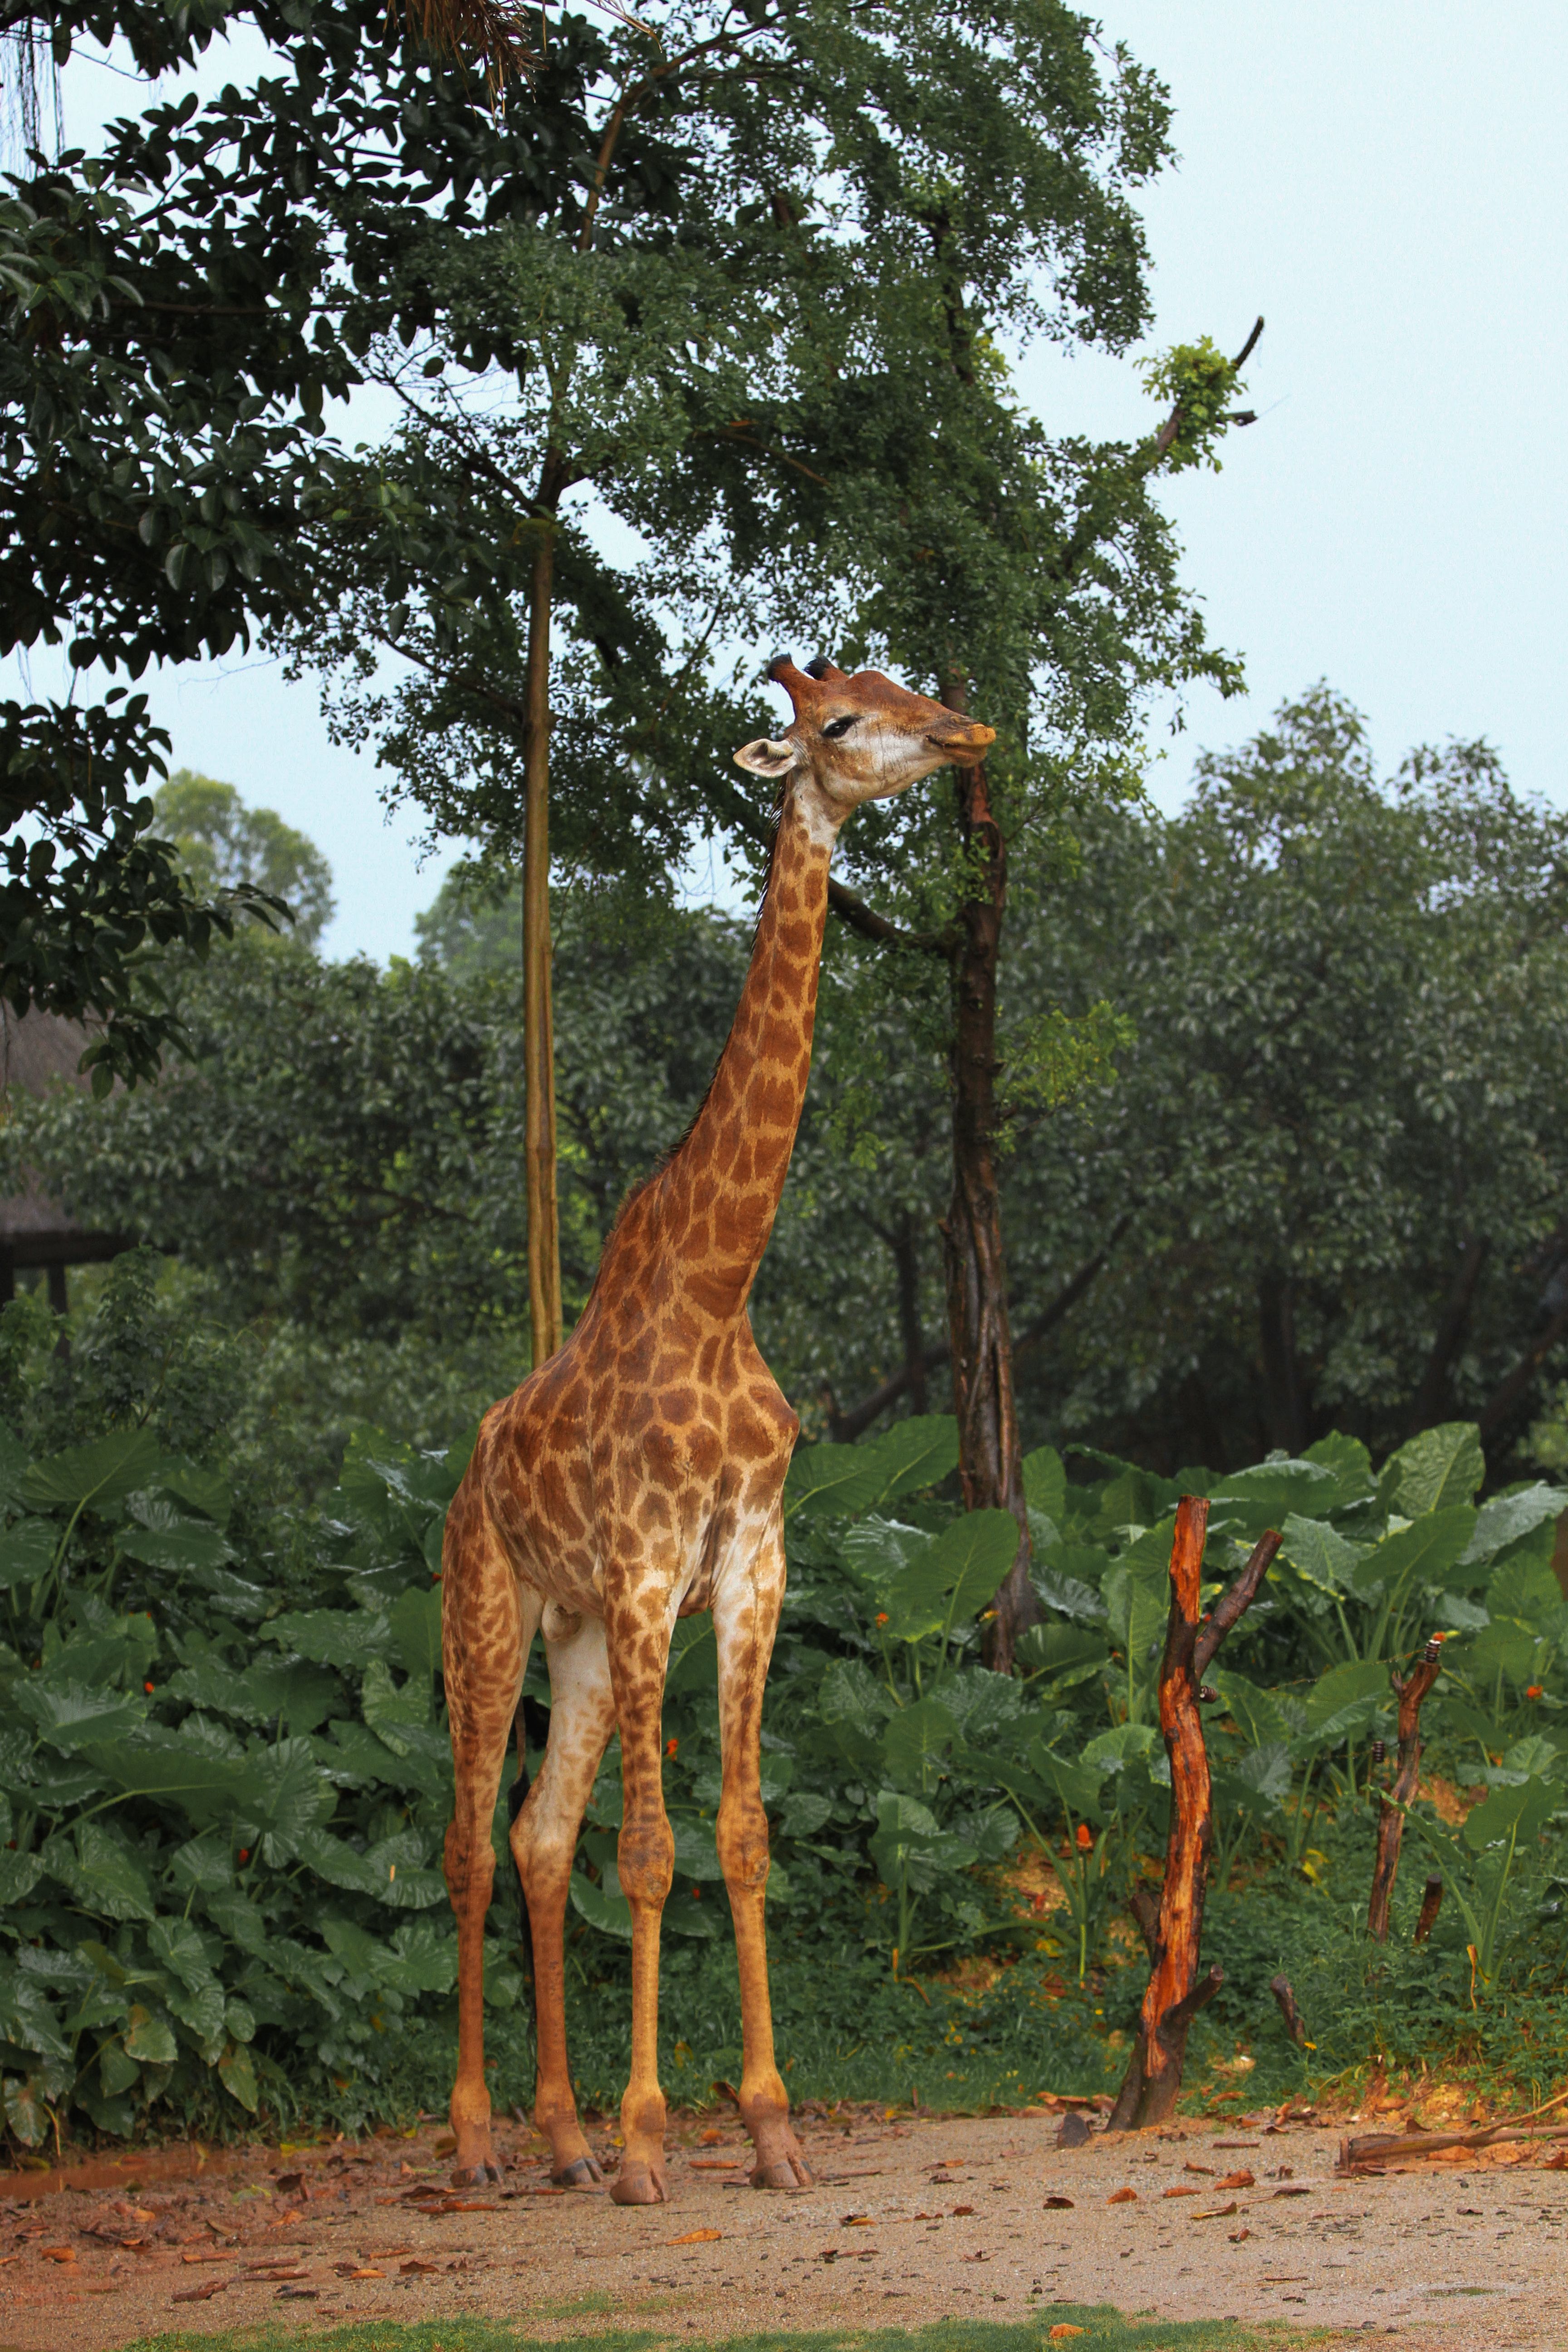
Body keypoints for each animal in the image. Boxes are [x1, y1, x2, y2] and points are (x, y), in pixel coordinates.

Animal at [439, 654, 996, 2203]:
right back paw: (482, 2138)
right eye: (842, 722)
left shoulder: (752, 1563)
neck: (716, 1279)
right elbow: (654, 1850)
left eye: (898, 682)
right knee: (468, 1841)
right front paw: (651, 2142)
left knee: (537, 1835)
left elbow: (738, 1838)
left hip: (572, 1639)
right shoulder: (646, 1570)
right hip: (491, 1614)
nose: (968, 729)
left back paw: (561, 2137)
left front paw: (767, 2126)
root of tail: (461, 1477)